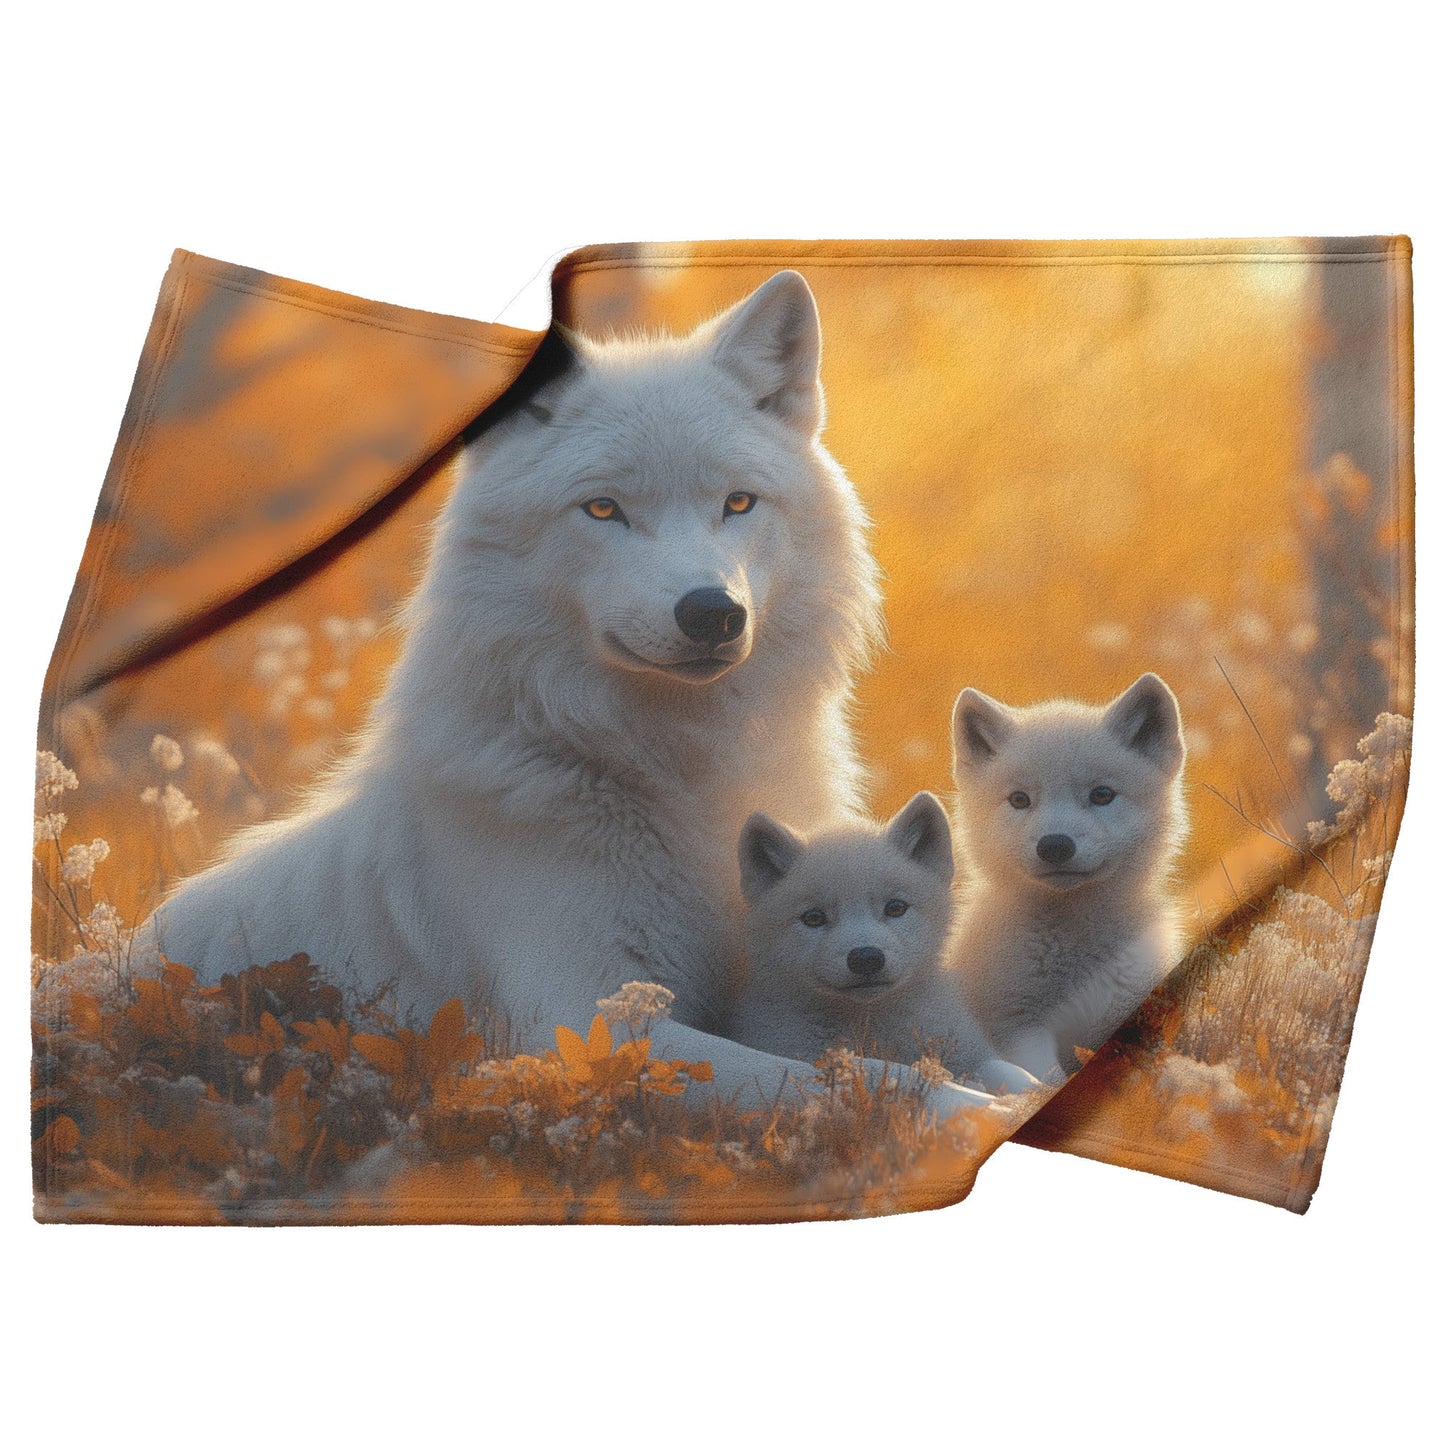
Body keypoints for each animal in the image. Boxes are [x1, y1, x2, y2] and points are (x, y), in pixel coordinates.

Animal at [150, 272, 982, 1112]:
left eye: (738, 502)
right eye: (604, 508)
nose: (712, 612)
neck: (683, 775)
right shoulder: (581, 1018)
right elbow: (867, 1080)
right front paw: (977, 1112)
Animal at [728, 791, 1036, 1096]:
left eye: (895, 908)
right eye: (814, 918)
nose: (866, 958)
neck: (870, 1020)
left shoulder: (968, 1049)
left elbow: (1004, 1070)